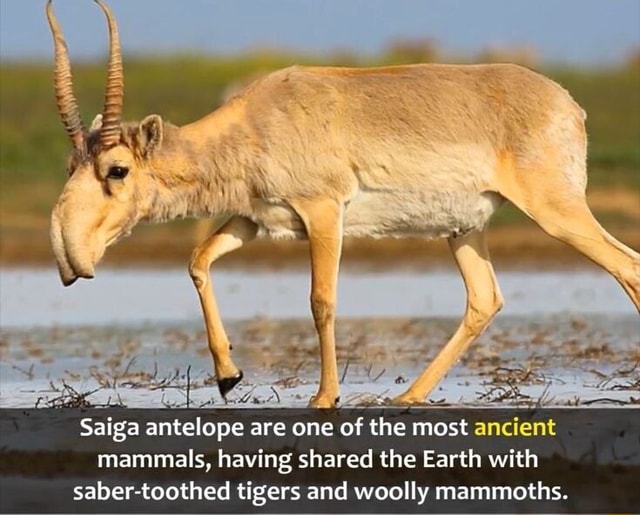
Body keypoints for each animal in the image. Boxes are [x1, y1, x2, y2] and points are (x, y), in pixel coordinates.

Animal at [47, 1, 639, 408]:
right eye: (70, 165)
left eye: (116, 169)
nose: (69, 258)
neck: (256, 121)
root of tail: (569, 104)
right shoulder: (255, 220)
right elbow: (197, 260)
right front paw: (228, 376)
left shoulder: (323, 213)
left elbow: (321, 301)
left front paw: (323, 396)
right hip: (464, 229)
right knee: (484, 298)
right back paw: (406, 397)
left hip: (557, 212)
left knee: (625, 266)